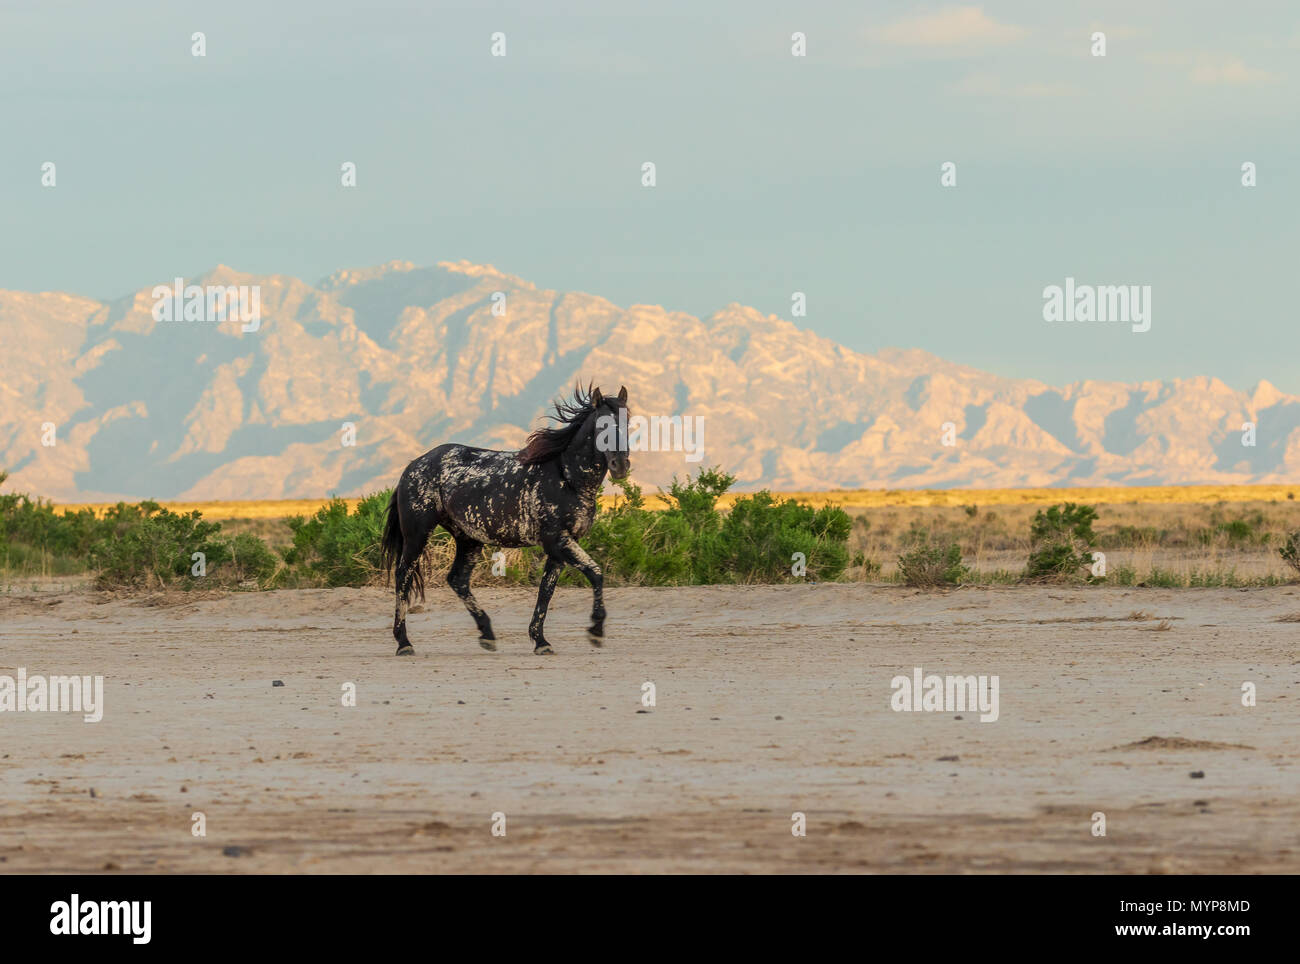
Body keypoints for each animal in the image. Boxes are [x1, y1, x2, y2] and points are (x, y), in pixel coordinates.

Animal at [380, 384, 631, 656]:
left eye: (628, 423)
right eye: (602, 426)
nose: (620, 465)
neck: (567, 477)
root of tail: (412, 466)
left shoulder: (560, 547)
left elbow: (546, 592)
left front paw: (541, 641)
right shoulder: (558, 540)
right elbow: (595, 573)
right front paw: (595, 629)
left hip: (468, 540)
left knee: (457, 580)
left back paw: (487, 634)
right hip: (417, 535)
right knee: (403, 576)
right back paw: (404, 642)